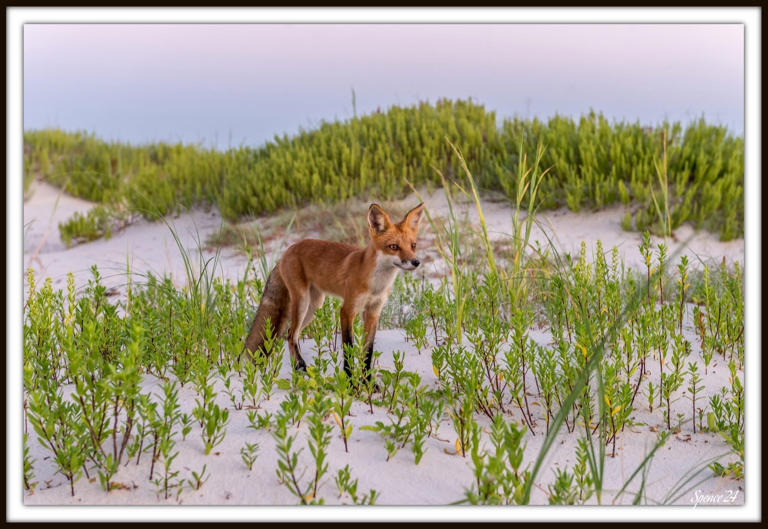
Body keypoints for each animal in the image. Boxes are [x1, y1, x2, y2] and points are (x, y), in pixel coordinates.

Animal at [243, 202, 425, 378]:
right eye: (394, 247)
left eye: (413, 246)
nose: (416, 262)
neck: (376, 285)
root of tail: (287, 250)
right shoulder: (347, 310)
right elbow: (348, 348)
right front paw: (350, 381)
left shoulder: (373, 312)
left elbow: (368, 352)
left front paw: (368, 382)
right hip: (302, 302)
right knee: (290, 334)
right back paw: (300, 368)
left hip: (314, 306)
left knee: (290, 333)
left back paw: (298, 370)